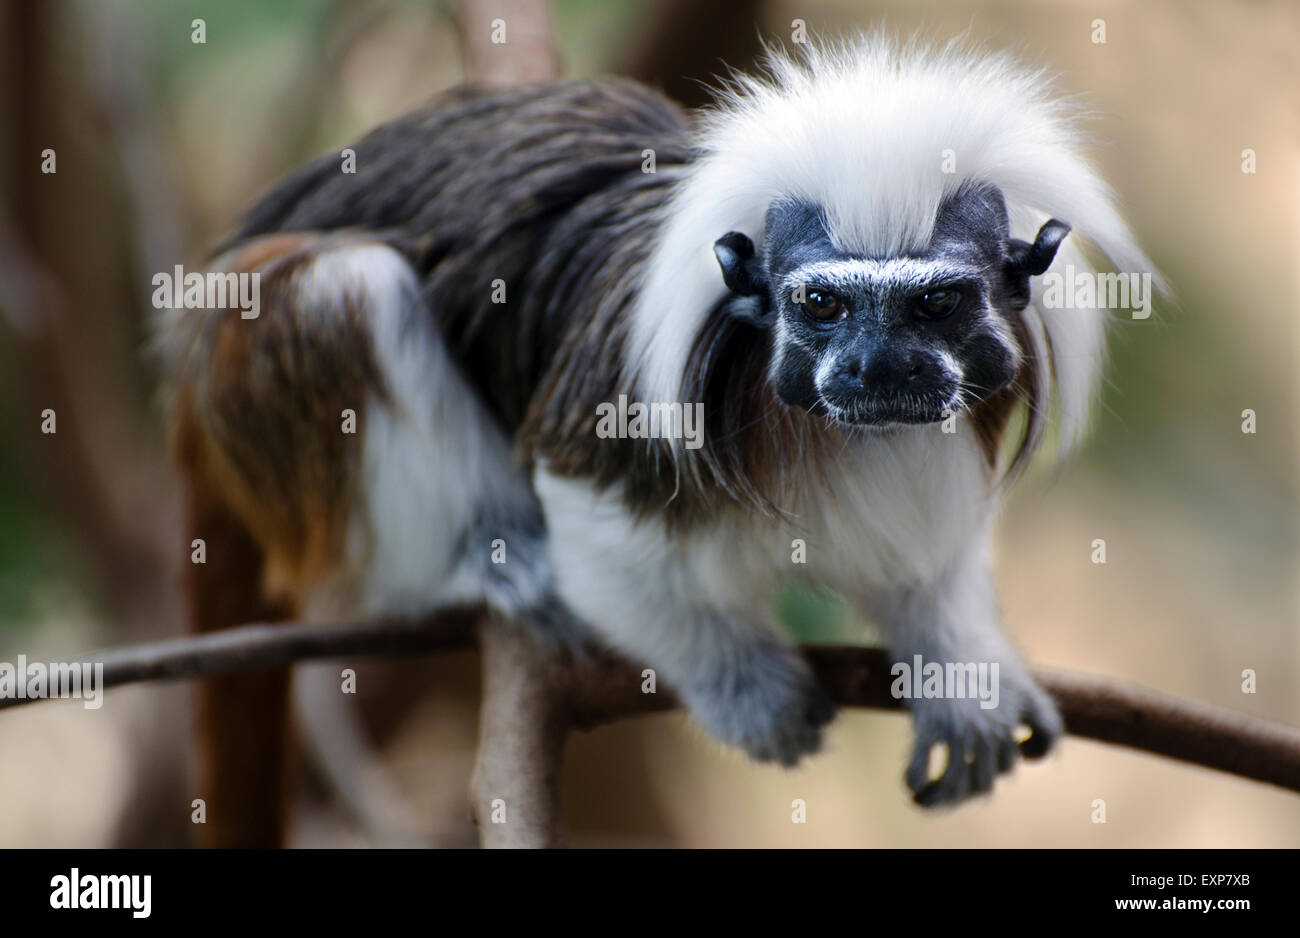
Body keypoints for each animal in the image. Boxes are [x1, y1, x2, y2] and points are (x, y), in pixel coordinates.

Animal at [154, 35, 1155, 843]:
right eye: (821, 304)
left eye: (938, 303)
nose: (879, 370)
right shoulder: (626, 416)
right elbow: (600, 541)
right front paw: (741, 684)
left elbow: (925, 559)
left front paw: (959, 674)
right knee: (344, 292)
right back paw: (490, 553)